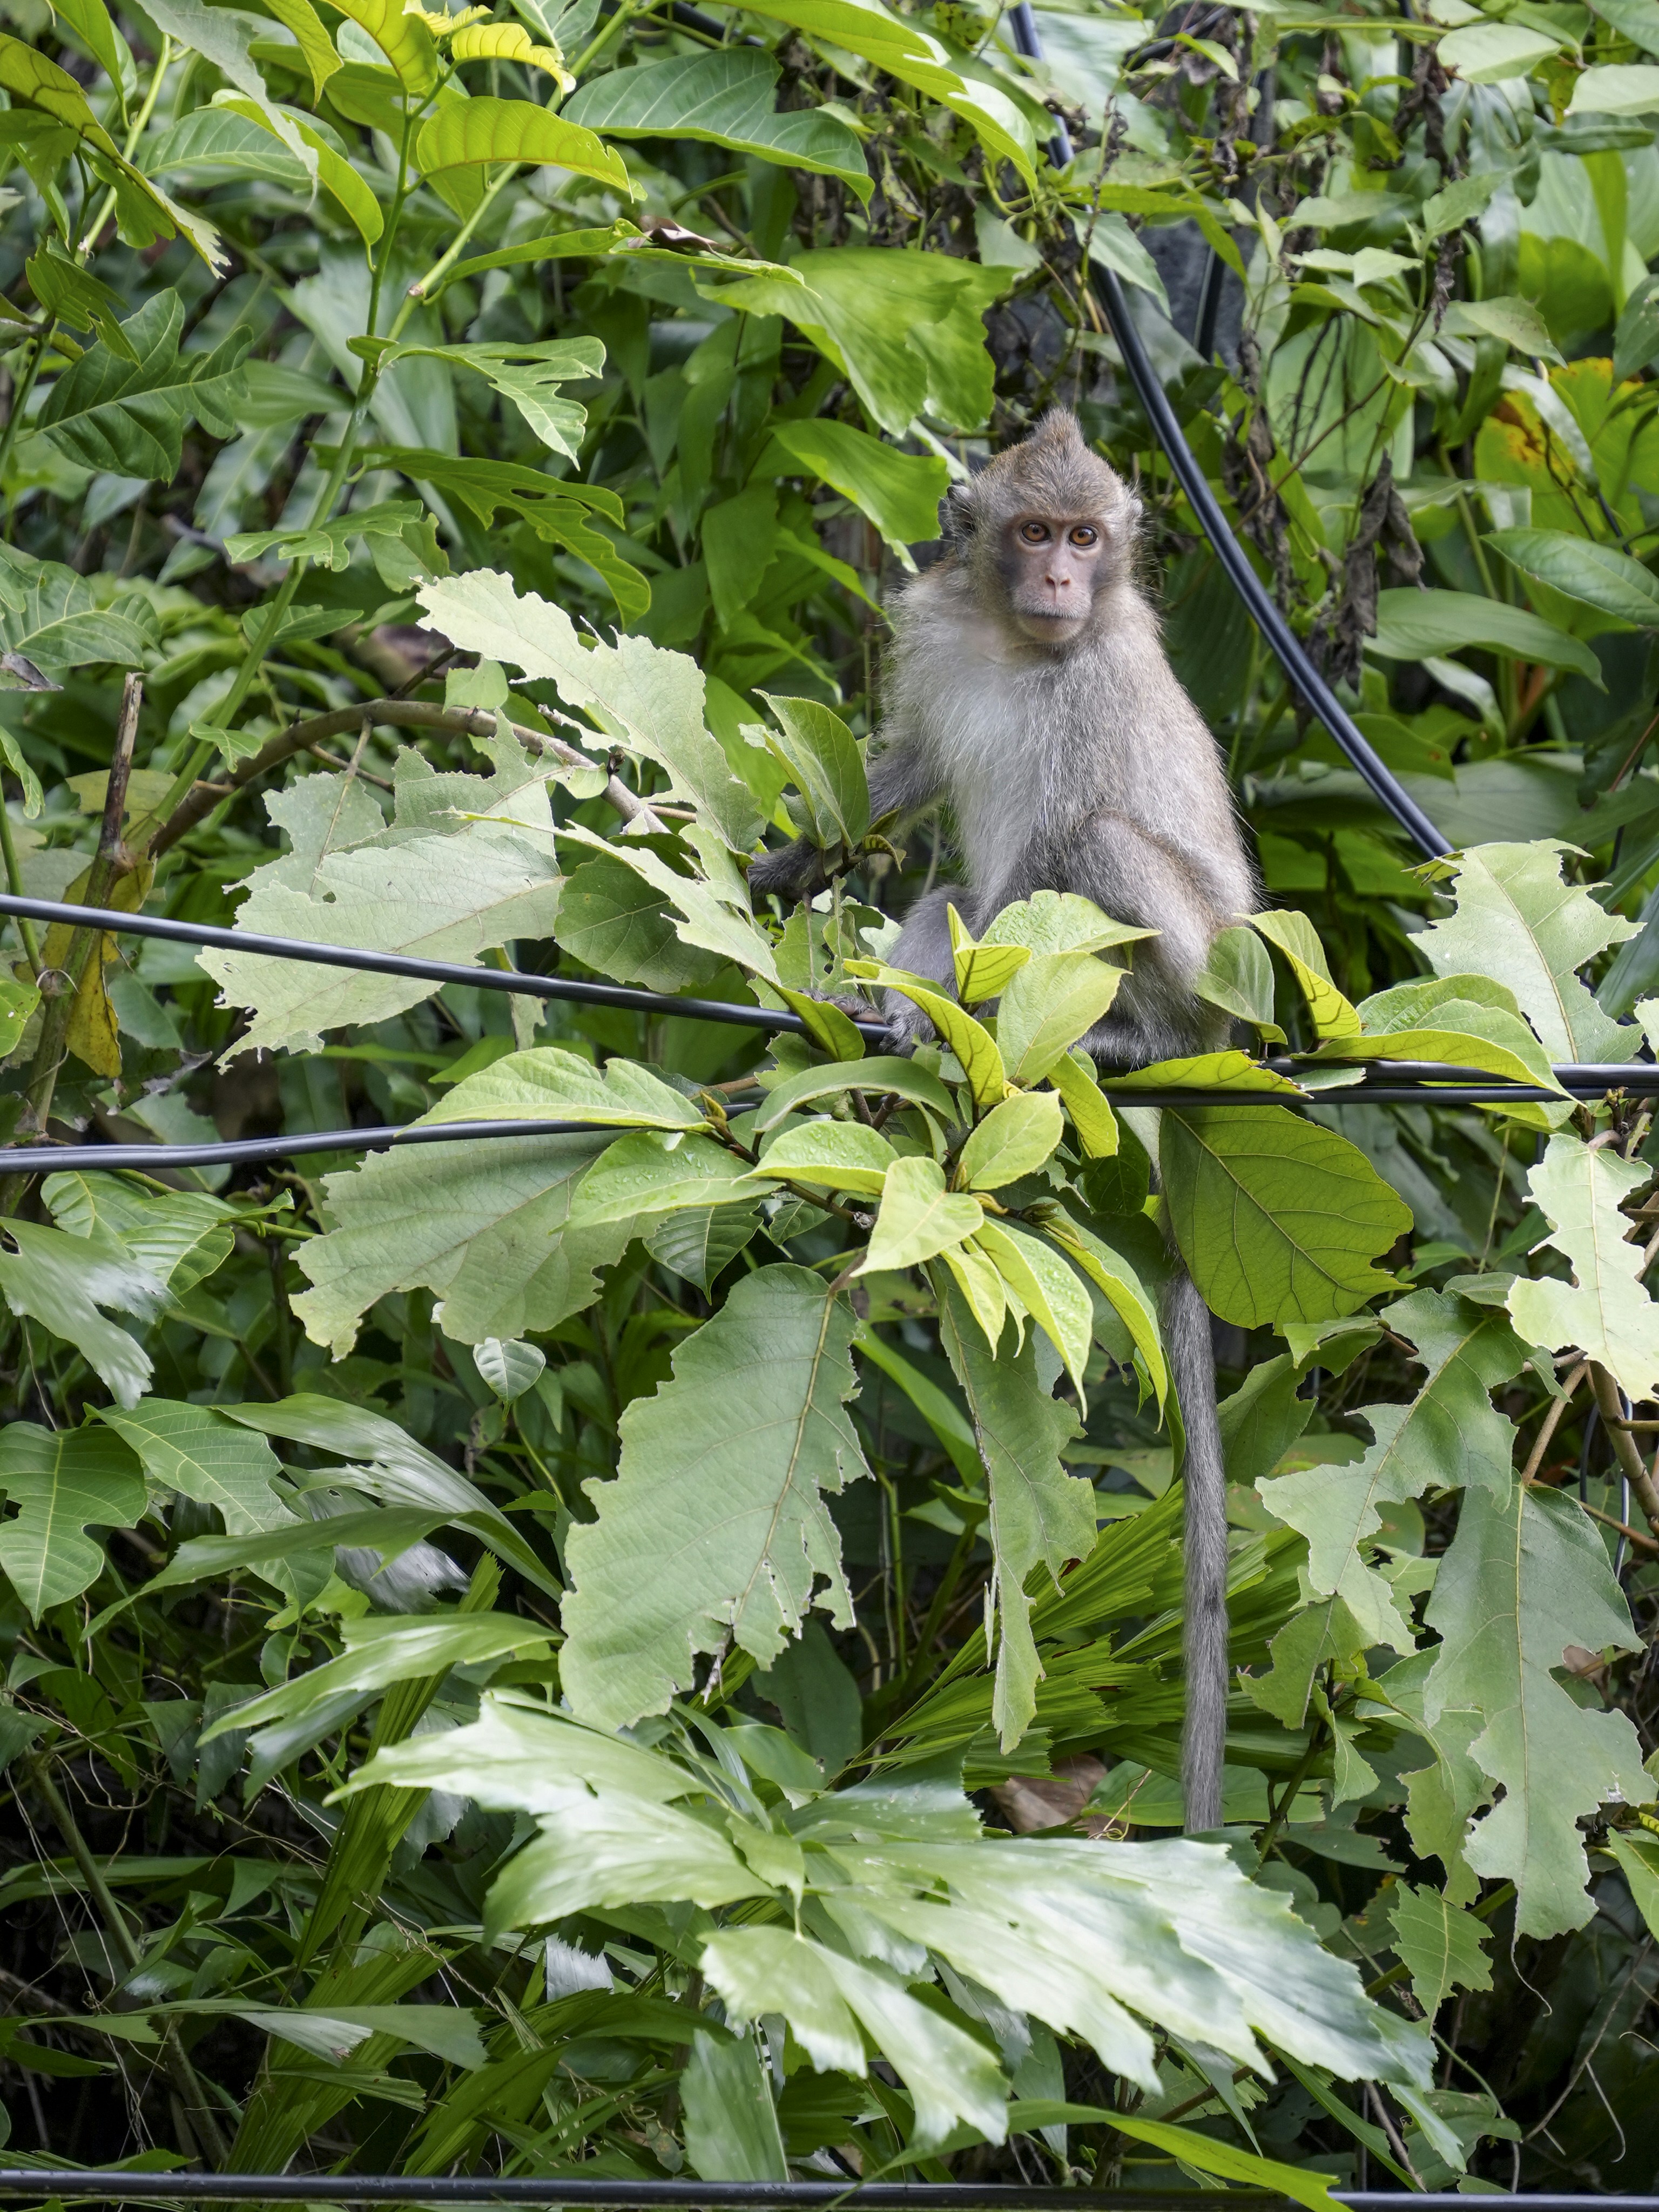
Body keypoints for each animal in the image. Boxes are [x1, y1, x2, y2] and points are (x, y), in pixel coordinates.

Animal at [749, 409, 1259, 1833]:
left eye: (1084, 535)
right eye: (1032, 532)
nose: (1060, 579)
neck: (1017, 647)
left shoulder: (1088, 696)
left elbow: (1041, 859)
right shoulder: (934, 639)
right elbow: (913, 777)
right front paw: (788, 863)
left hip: (1204, 965)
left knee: (1091, 847)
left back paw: (1116, 1041)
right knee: (943, 903)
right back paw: (895, 1016)